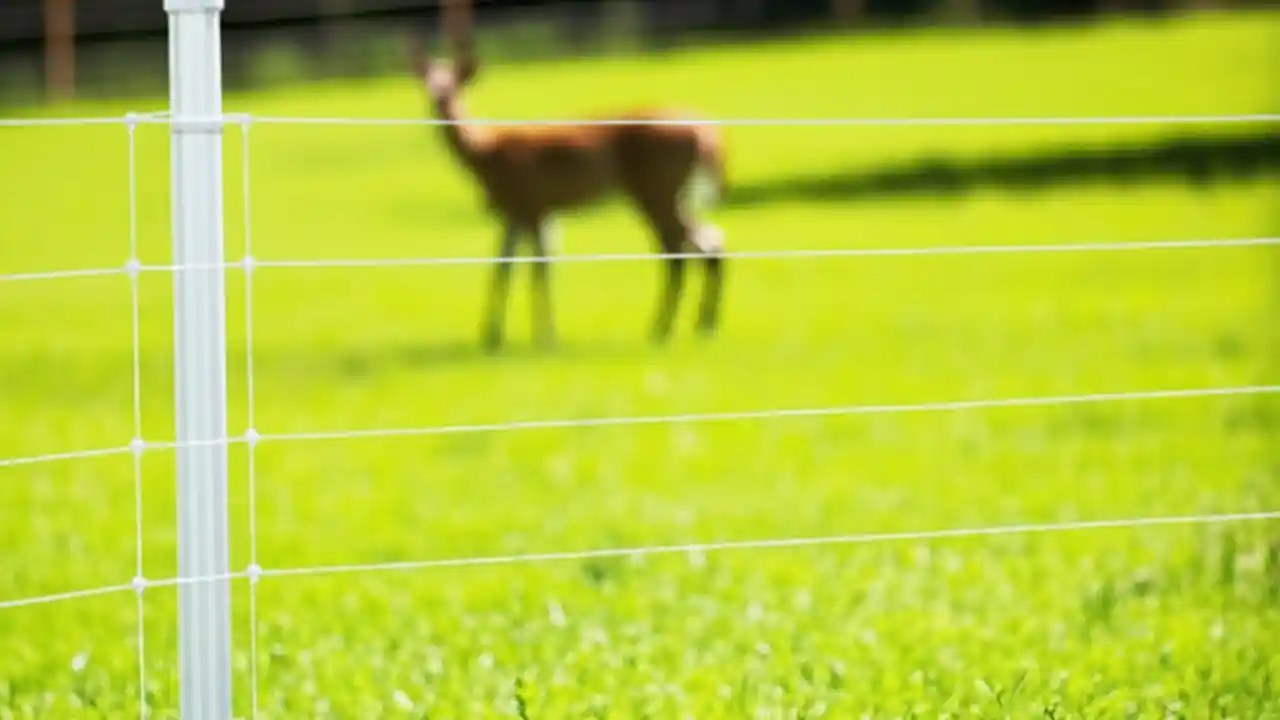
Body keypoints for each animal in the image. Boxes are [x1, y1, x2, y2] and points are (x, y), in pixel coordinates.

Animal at [408, 0, 727, 352]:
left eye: (453, 87)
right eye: (427, 85)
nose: (438, 102)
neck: (486, 153)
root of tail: (707, 134)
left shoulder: (534, 204)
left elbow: (538, 268)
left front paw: (545, 336)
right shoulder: (513, 213)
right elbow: (503, 267)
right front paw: (491, 336)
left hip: (657, 187)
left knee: (678, 247)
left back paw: (661, 328)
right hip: (677, 192)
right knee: (711, 241)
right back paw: (703, 325)